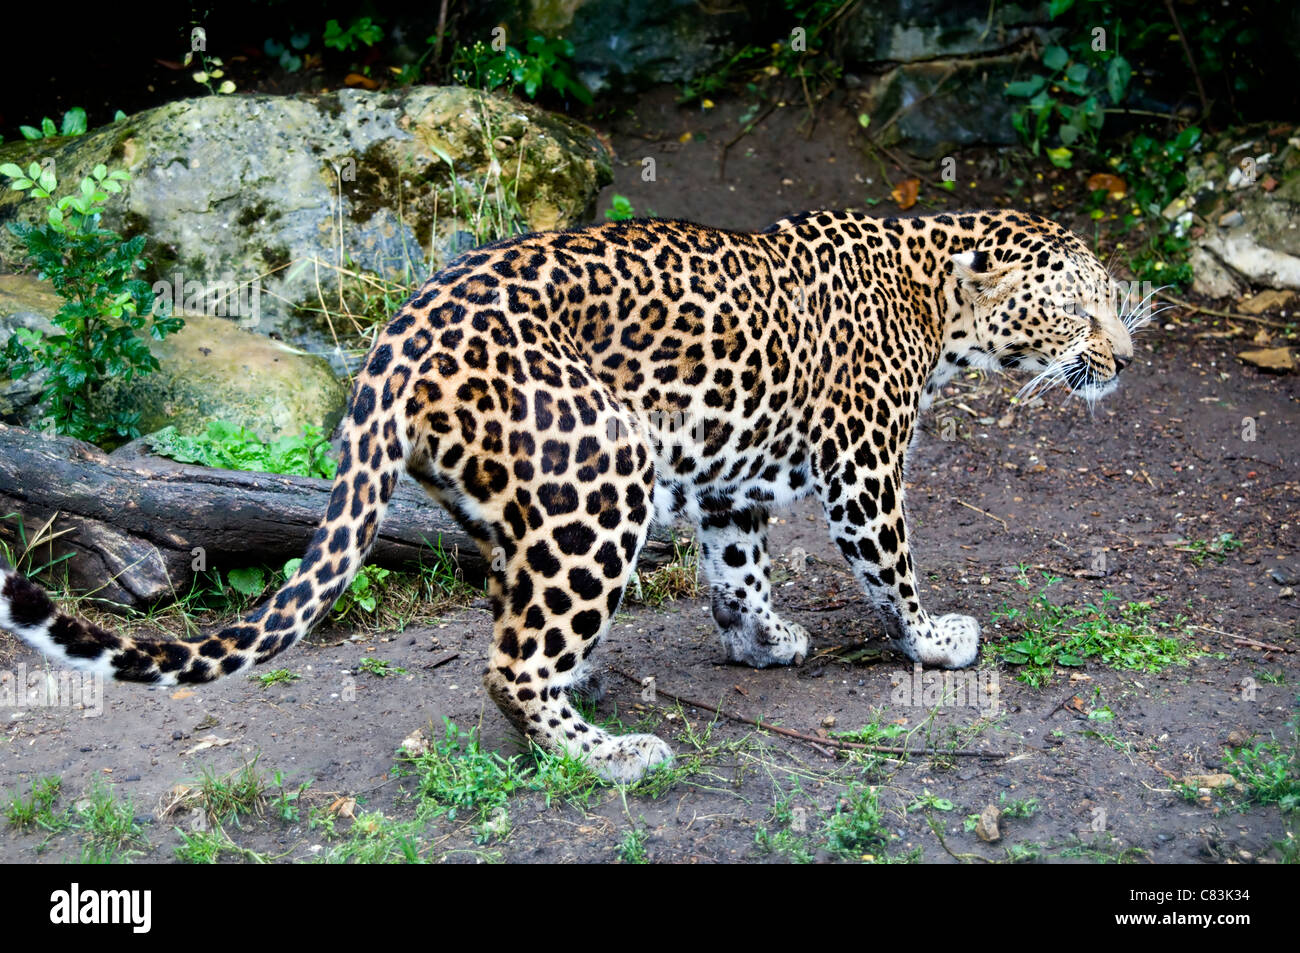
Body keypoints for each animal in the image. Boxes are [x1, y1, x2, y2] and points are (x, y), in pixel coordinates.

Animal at [0, 208, 1146, 783]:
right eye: (1080, 307)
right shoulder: (860, 459)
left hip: (525, 502)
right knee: (508, 663)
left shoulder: (729, 474)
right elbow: (890, 564)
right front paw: (934, 639)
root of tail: (398, 333)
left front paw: (762, 639)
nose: (1128, 359)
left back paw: (583, 684)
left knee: (518, 622)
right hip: (602, 476)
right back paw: (613, 755)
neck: (932, 301)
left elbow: (738, 566)